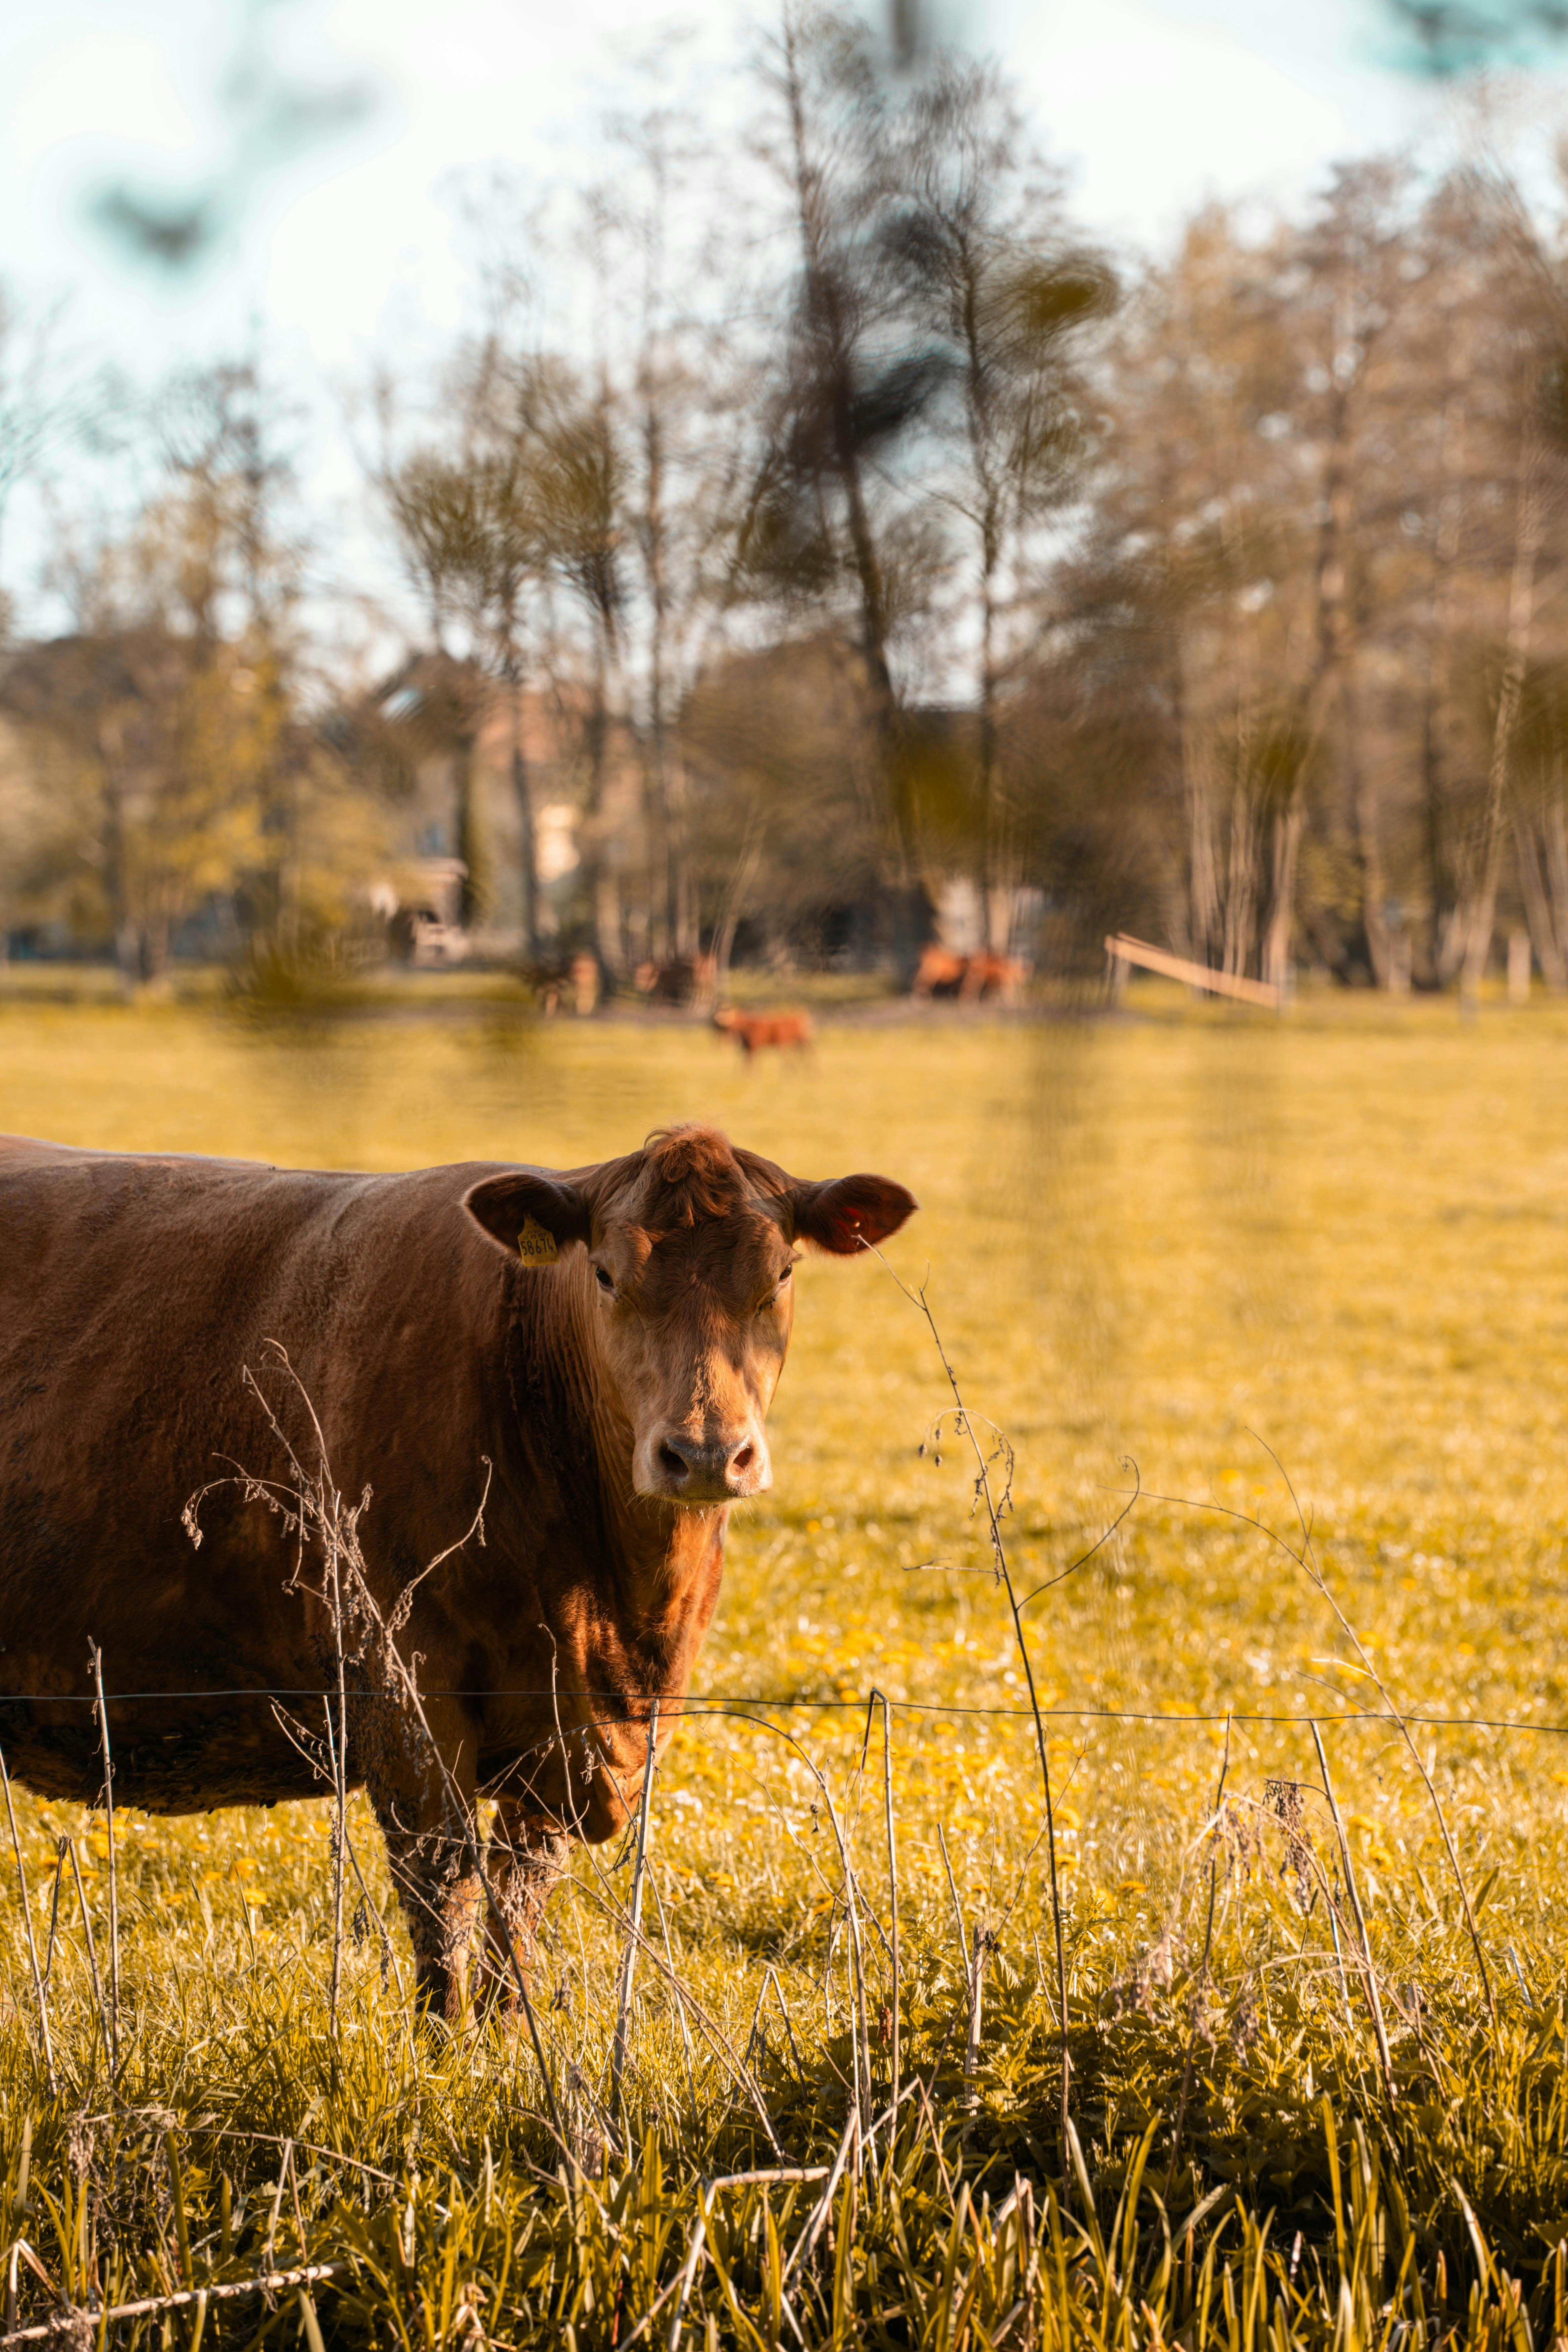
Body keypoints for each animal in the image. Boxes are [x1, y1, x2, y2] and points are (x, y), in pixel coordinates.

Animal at [0, 1125, 915, 2020]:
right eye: (606, 1272)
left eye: (781, 1274)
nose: (703, 1454)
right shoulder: (403, 1682)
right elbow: (442, 1881)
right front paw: (445, 2047)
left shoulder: (567, 1736)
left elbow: (521, 1891)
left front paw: (512, 2034)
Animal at [712, 1007, 815, 1057]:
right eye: (719, 1027)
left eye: (724, 1027)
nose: (723, 1040)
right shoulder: (748, 1049)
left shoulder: (753, 1048)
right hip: (798, 1043)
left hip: (801, 1042)